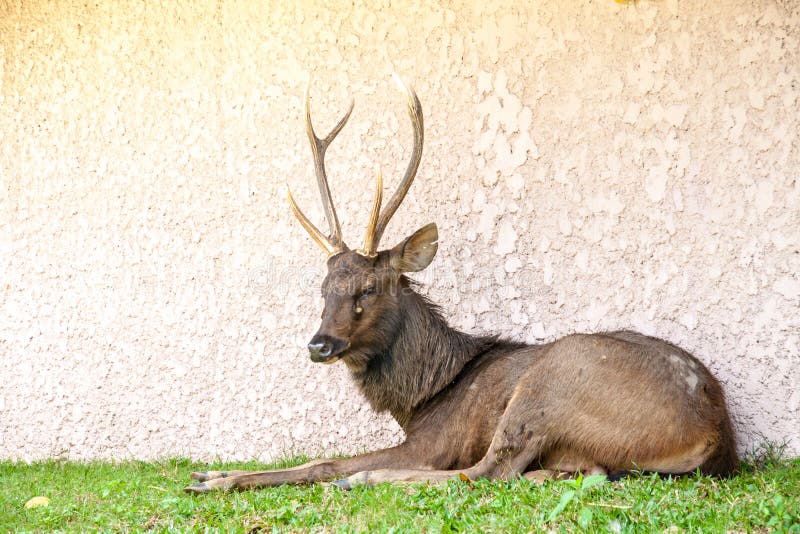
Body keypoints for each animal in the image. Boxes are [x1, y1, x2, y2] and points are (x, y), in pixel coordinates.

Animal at [185, 76, 738, 492]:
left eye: (369, 288)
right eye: (323, 290)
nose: (319, 344)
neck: (422, 397)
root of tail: (716, 435)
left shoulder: (435, 443)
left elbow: (327, 461)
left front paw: (219, 479)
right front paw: (211, 473)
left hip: (554, 378)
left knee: (488, 471)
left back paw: (366, 479)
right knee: (570, 473)